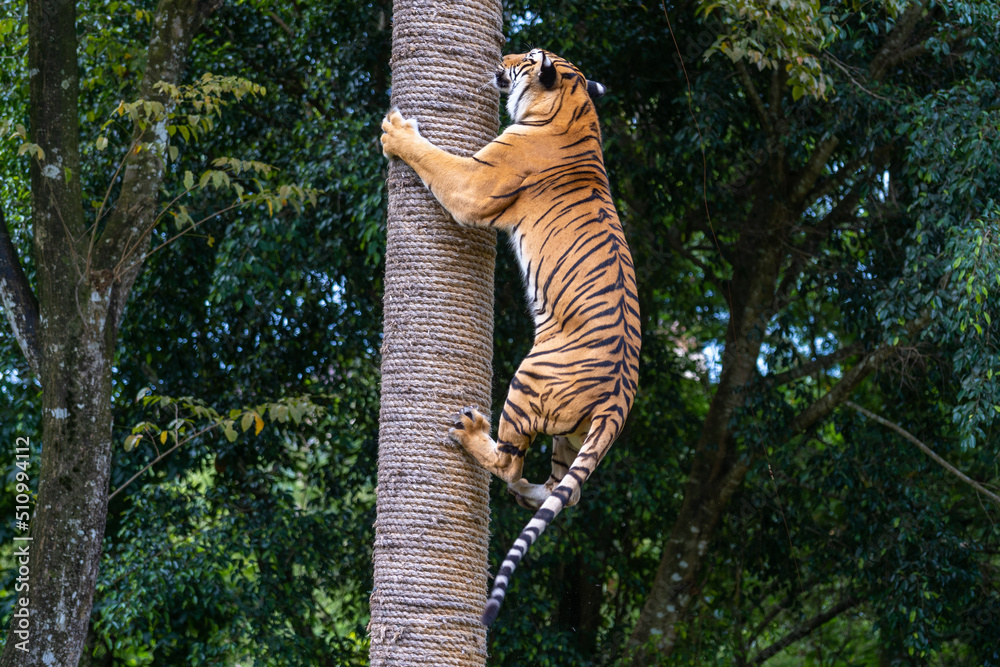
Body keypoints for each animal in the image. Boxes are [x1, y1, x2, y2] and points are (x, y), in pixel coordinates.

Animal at [380, 48, 641, 626]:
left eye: (526, 57)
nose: (502, 56)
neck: (575, 106)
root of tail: (620, 400)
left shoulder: (474, 184)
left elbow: (435, 159)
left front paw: (396, 132)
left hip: (528, 377)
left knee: (508, 458)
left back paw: (471, 432)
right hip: (573, 437)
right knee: (561, 492)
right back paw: (528, 490)